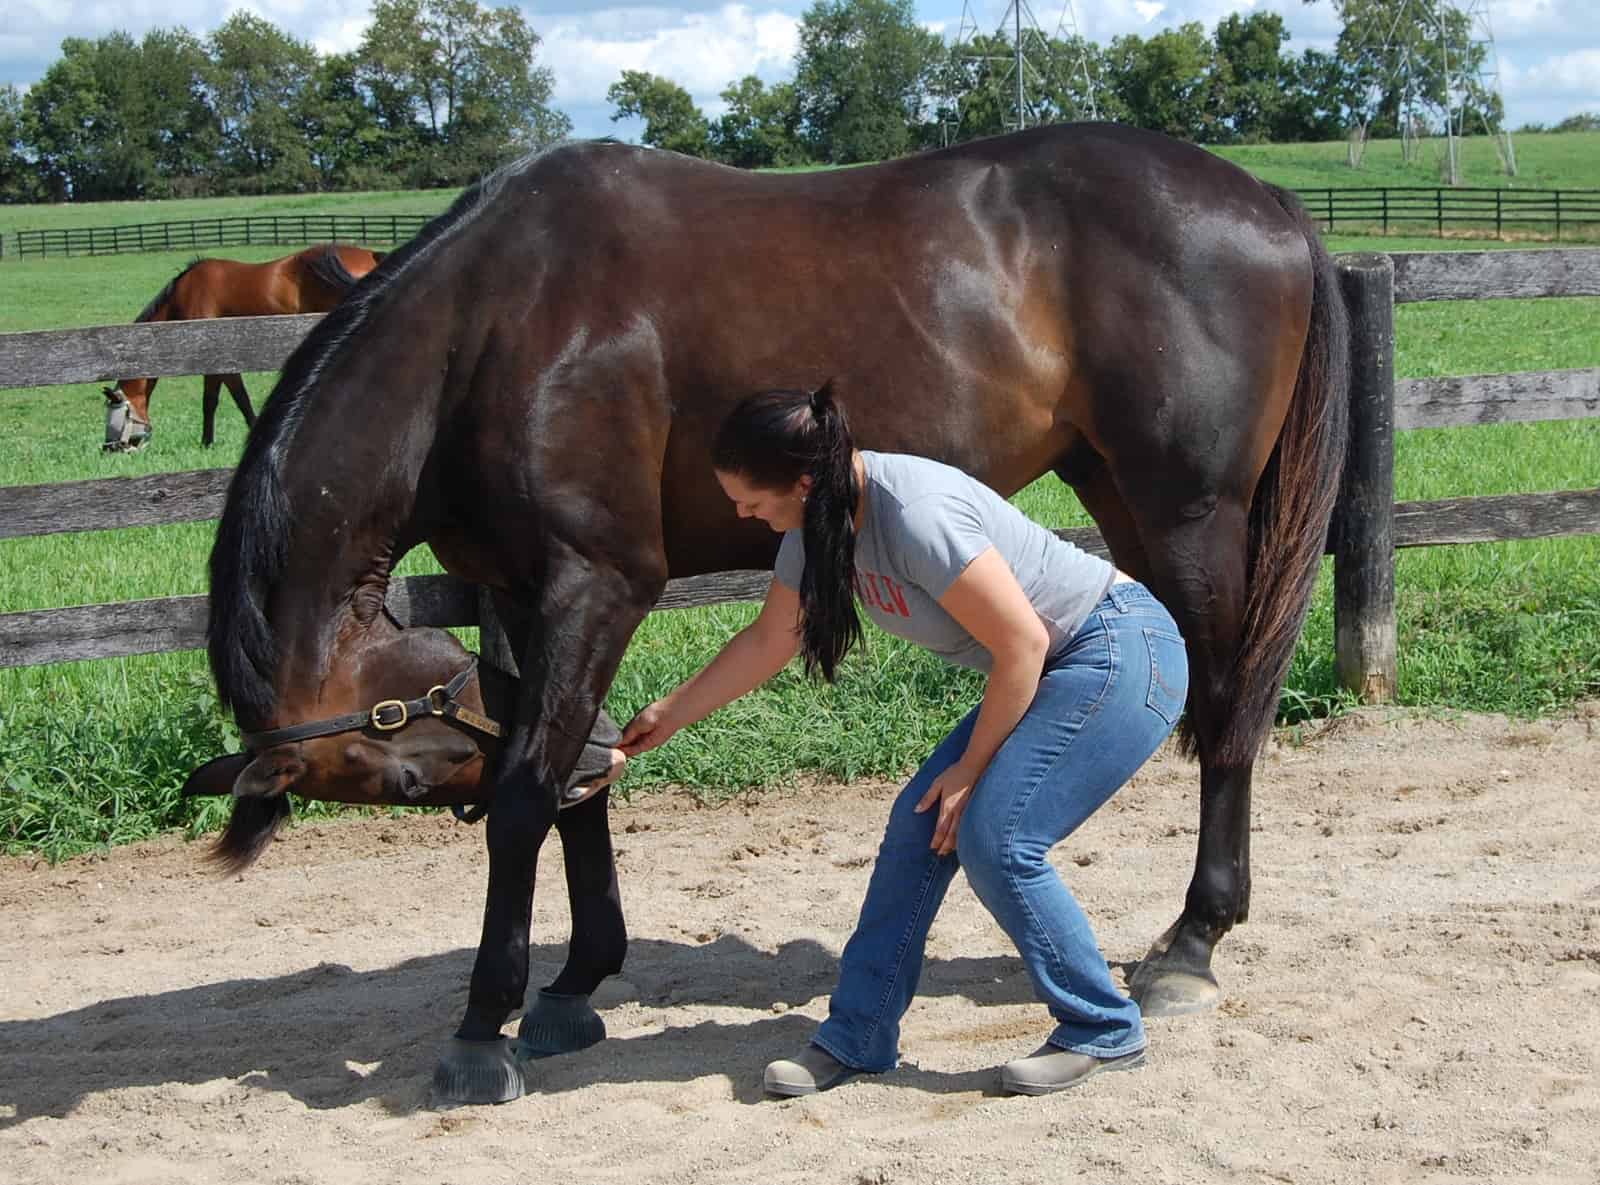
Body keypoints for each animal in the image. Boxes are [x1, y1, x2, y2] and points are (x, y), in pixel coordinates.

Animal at [102, 243, 385, 451]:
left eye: (116, 416)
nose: (110, 448)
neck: (185, 294)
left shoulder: (217, 364)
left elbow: (221, 401)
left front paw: (208, 442)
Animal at [180, 123, 1349, 1104]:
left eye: (407, 783)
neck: (492, 327)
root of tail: (1268, 202)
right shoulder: (525, 593)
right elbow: (574, 780)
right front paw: (573, 984)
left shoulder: (598, 581)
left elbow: (524, 796)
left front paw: (483, 1027)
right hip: (1119, 495)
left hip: (1193, 514)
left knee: (1230, 702)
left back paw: (1192, 942)